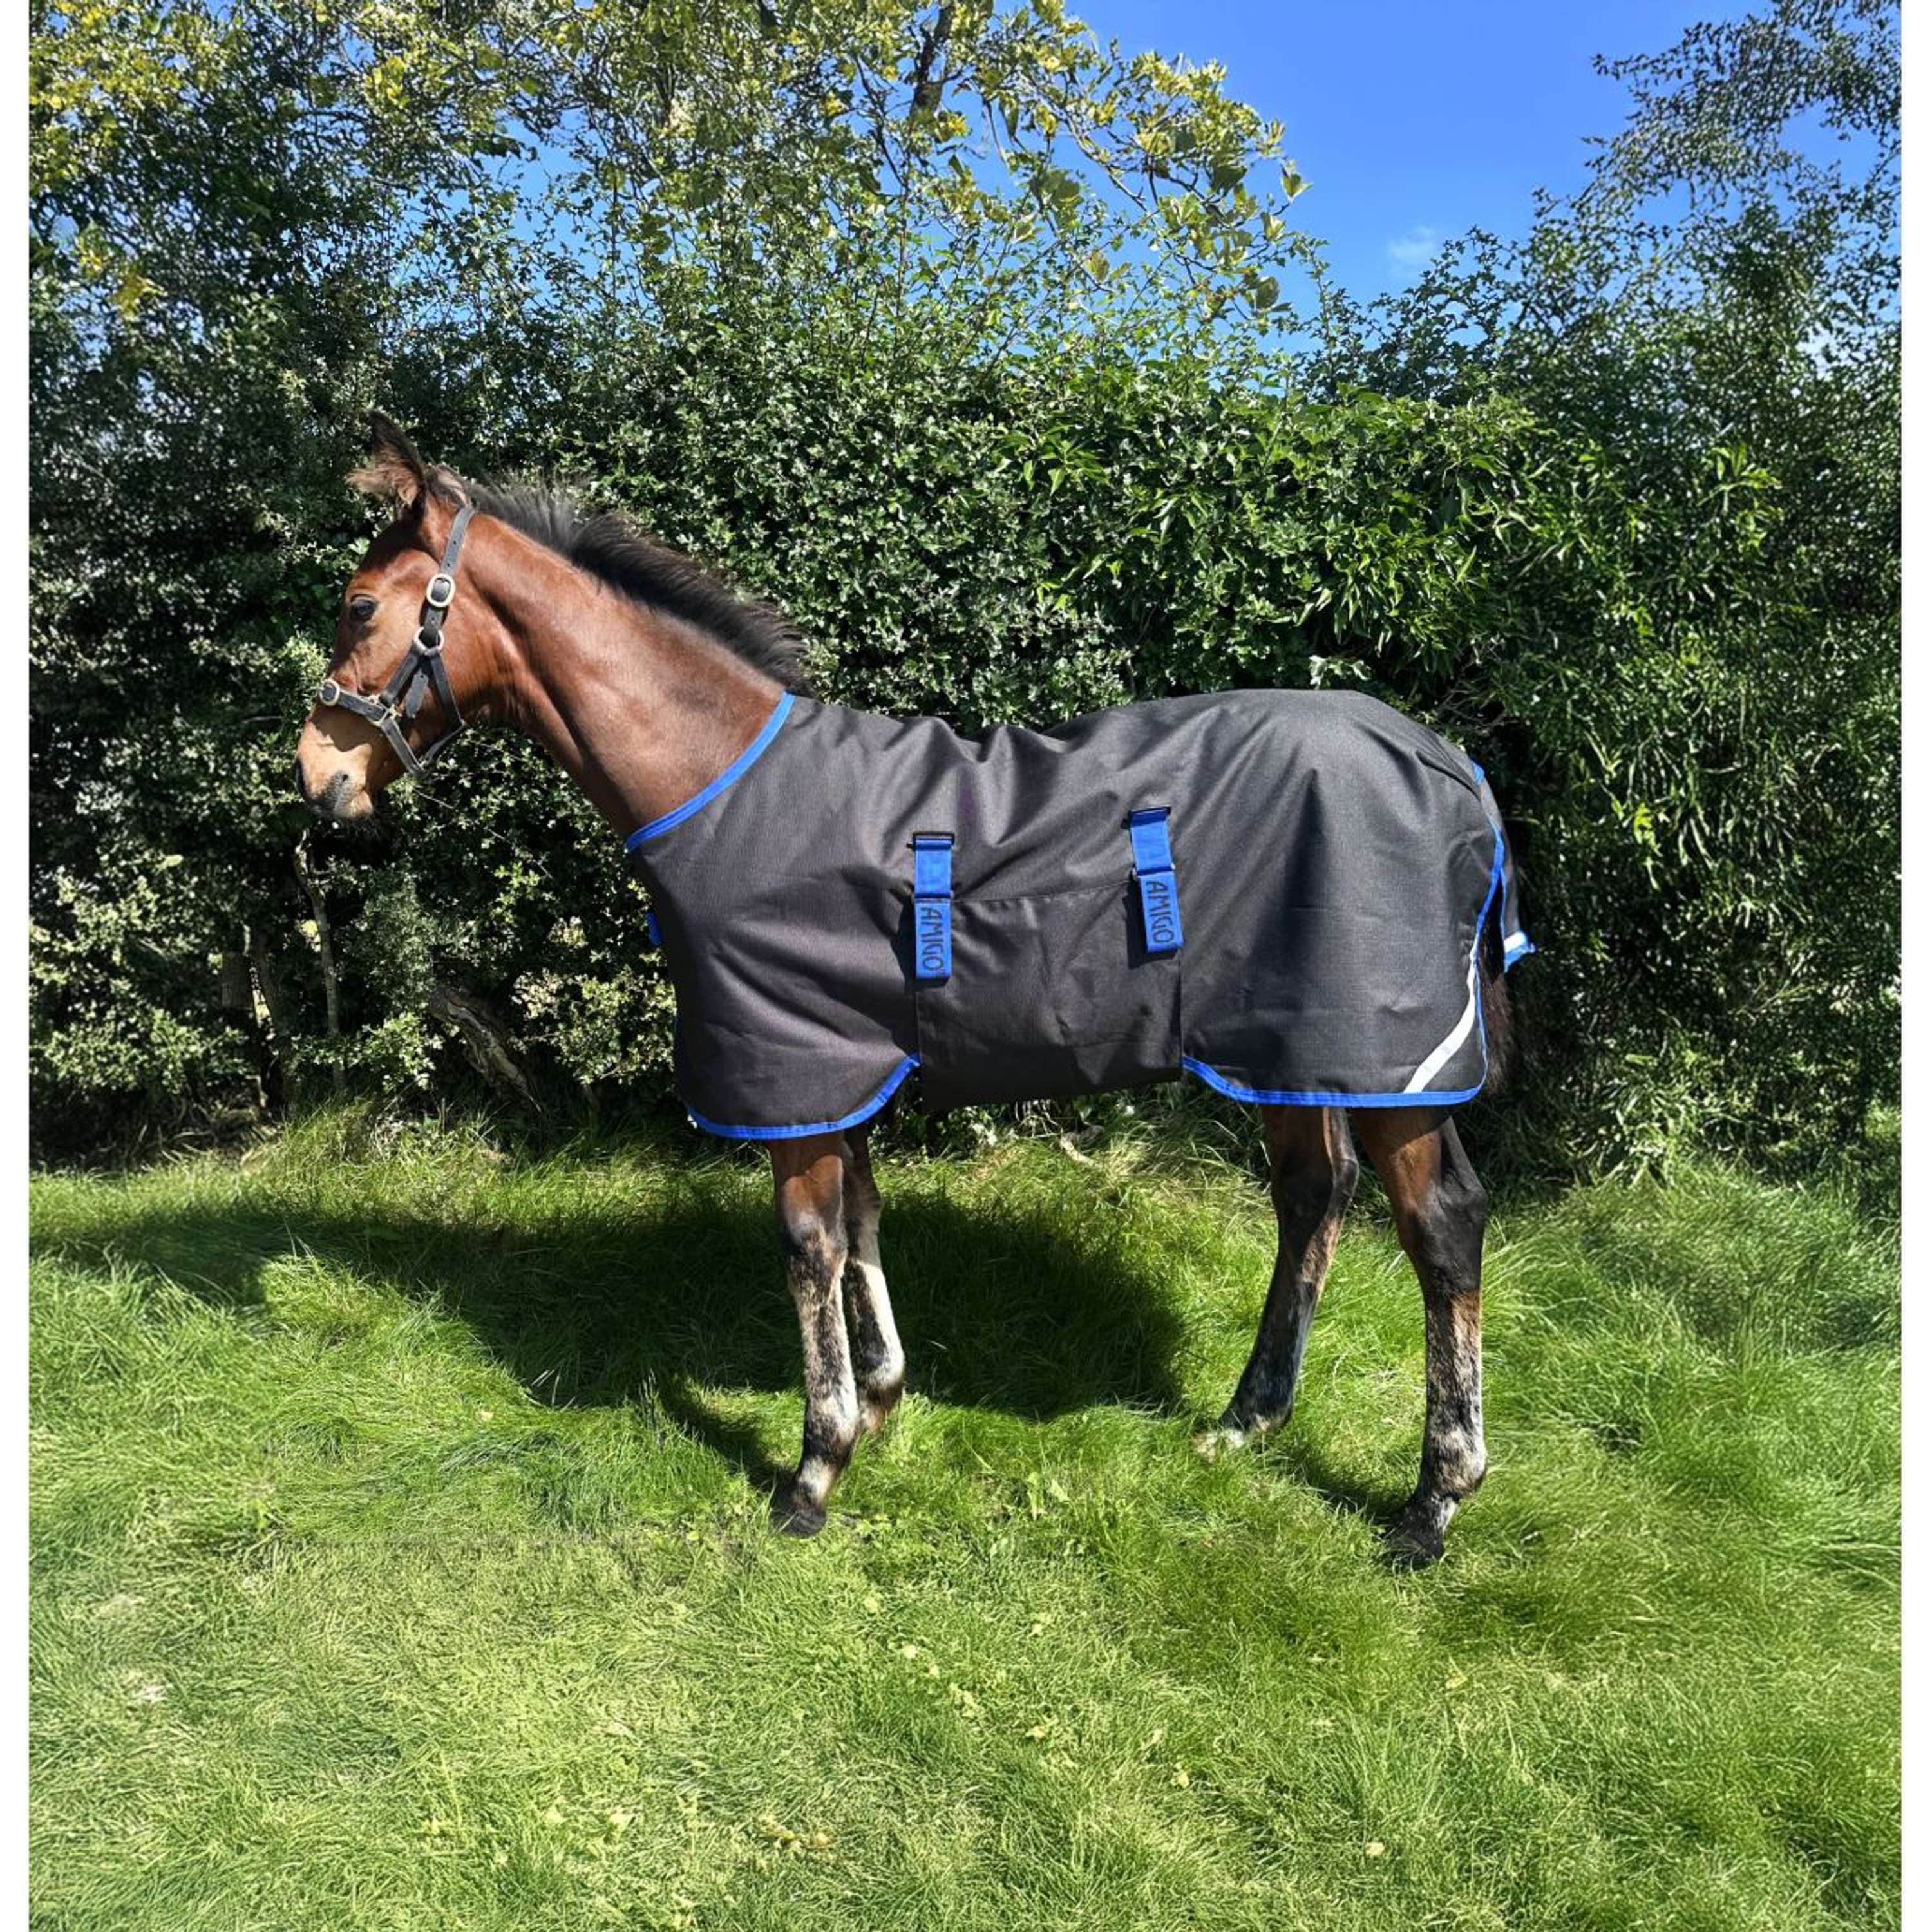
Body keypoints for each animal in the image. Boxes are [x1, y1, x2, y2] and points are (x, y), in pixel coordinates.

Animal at [294, 412, 1533, 1565]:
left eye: (358, 607)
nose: (318, 776)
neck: (725, 784)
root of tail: (1451, 763)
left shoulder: (793, 1071)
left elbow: (808, 1246)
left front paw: (815, 1467)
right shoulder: (837, 1063)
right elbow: (861, 1215)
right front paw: (884, 1400)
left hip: (1389, 1064)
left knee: (1441, 1228)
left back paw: (1434, 1501)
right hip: (1294, 1051)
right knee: (1313, 1198)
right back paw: (1247, 1421)